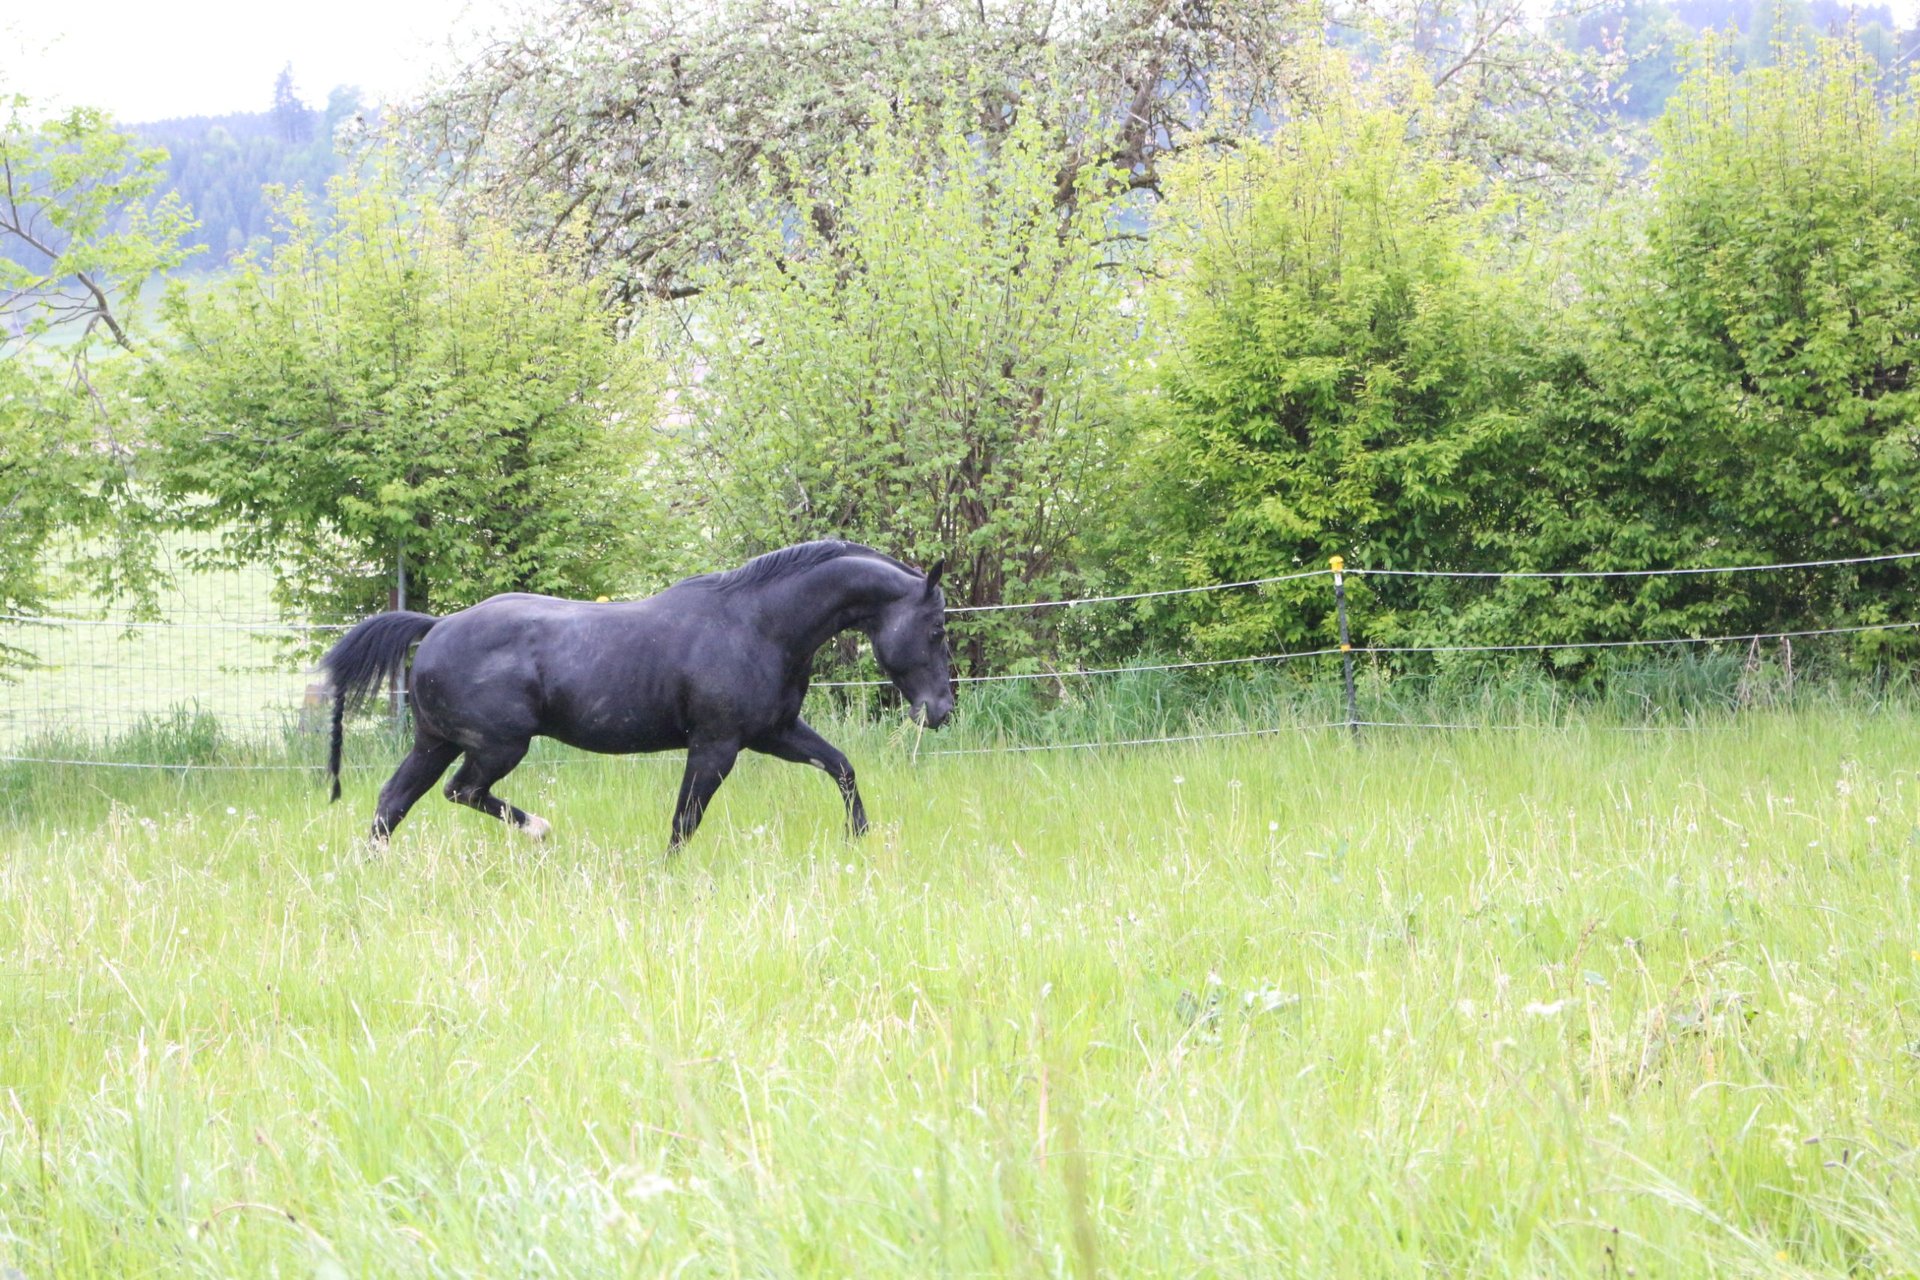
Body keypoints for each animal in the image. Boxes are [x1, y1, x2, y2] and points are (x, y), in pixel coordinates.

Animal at [319, 541, 954, 852]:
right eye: (936, 629)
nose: (941, 711)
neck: (758, 625)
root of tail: (437, 627)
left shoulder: (773, 733)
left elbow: (841, 767)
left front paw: (860, 840)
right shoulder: (716, 745)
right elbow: (684, 820)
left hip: (435, 741)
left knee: (392, 803)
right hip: (496, 746)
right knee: (462, 791)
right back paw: (540, 830)